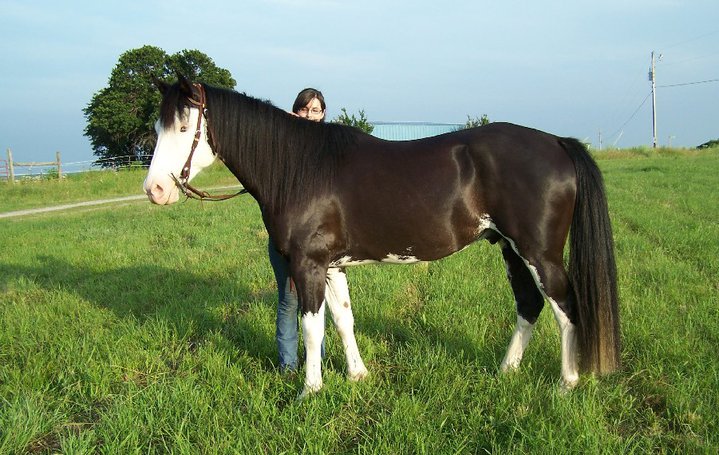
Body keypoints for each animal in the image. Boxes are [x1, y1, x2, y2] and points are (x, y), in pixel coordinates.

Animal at [143, 75, 620, 398]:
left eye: (184, 128)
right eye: (157, 129)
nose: (155, 190)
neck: (300, 168)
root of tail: (556, 143)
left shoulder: (308, 265)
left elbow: (312, 328)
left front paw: (310, 391)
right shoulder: (331, 266)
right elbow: (343, 319)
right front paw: (358, 376)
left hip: (539, 253)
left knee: (565, 305)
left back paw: (567, 383)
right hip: (510, 249)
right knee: (529, 304)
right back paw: (506, 371)